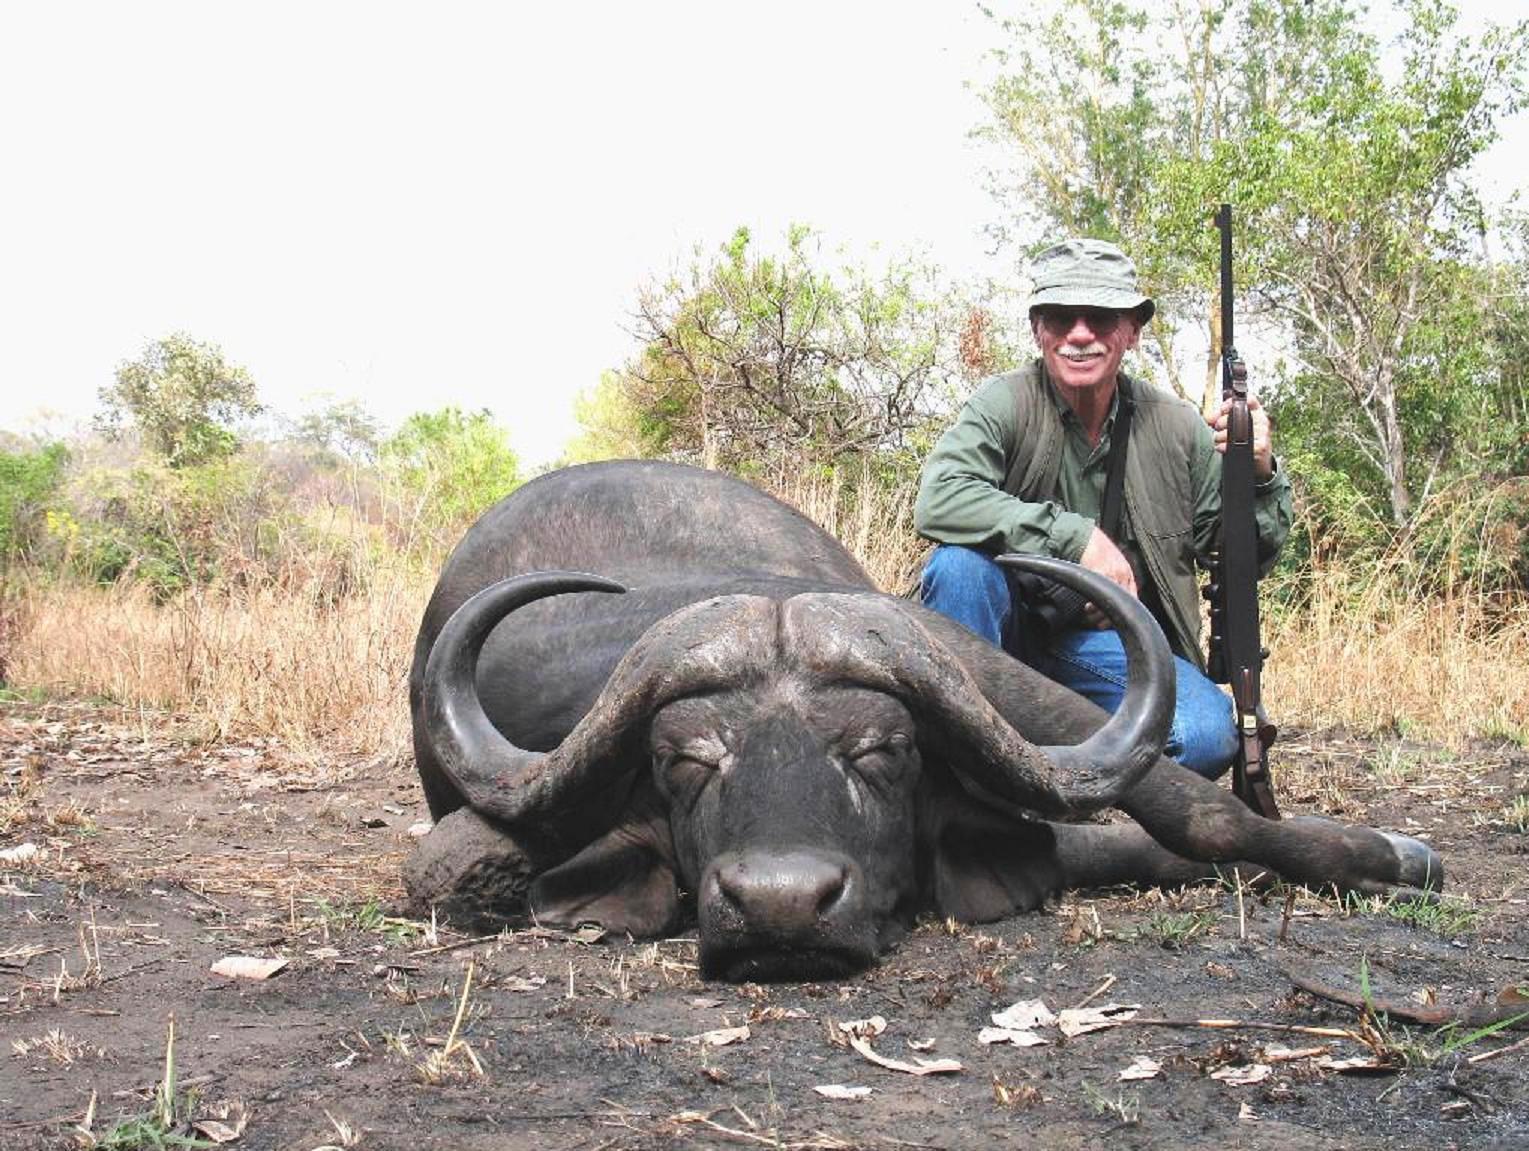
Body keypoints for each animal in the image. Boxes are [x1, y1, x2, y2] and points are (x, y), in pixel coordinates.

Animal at [405, 460, 1439, 981]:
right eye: (684, 760)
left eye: (882, 750)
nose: (780, 905)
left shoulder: (984, 681)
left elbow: (1203, 813)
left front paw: (1388, 856)